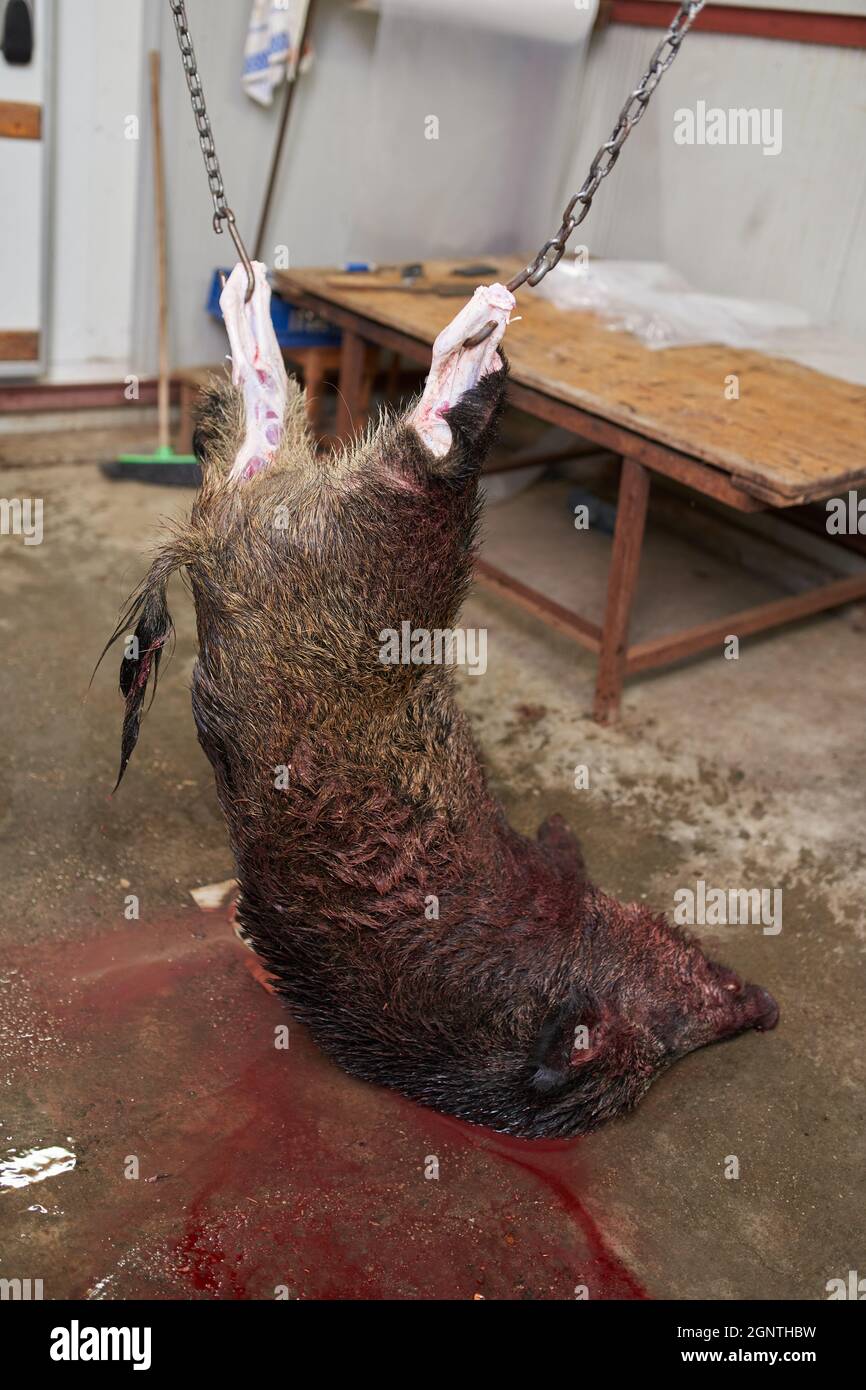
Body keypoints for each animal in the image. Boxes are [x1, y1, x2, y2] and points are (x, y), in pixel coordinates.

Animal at [108, 263, 778, 1139]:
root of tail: (216, 534)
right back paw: (483, 327)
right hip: (409, 547)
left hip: (289, 485)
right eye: (676, 1014)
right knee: (434, 442)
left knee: (267, 408)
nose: (765, 1006)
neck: (559, 957)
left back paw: (251, 294)